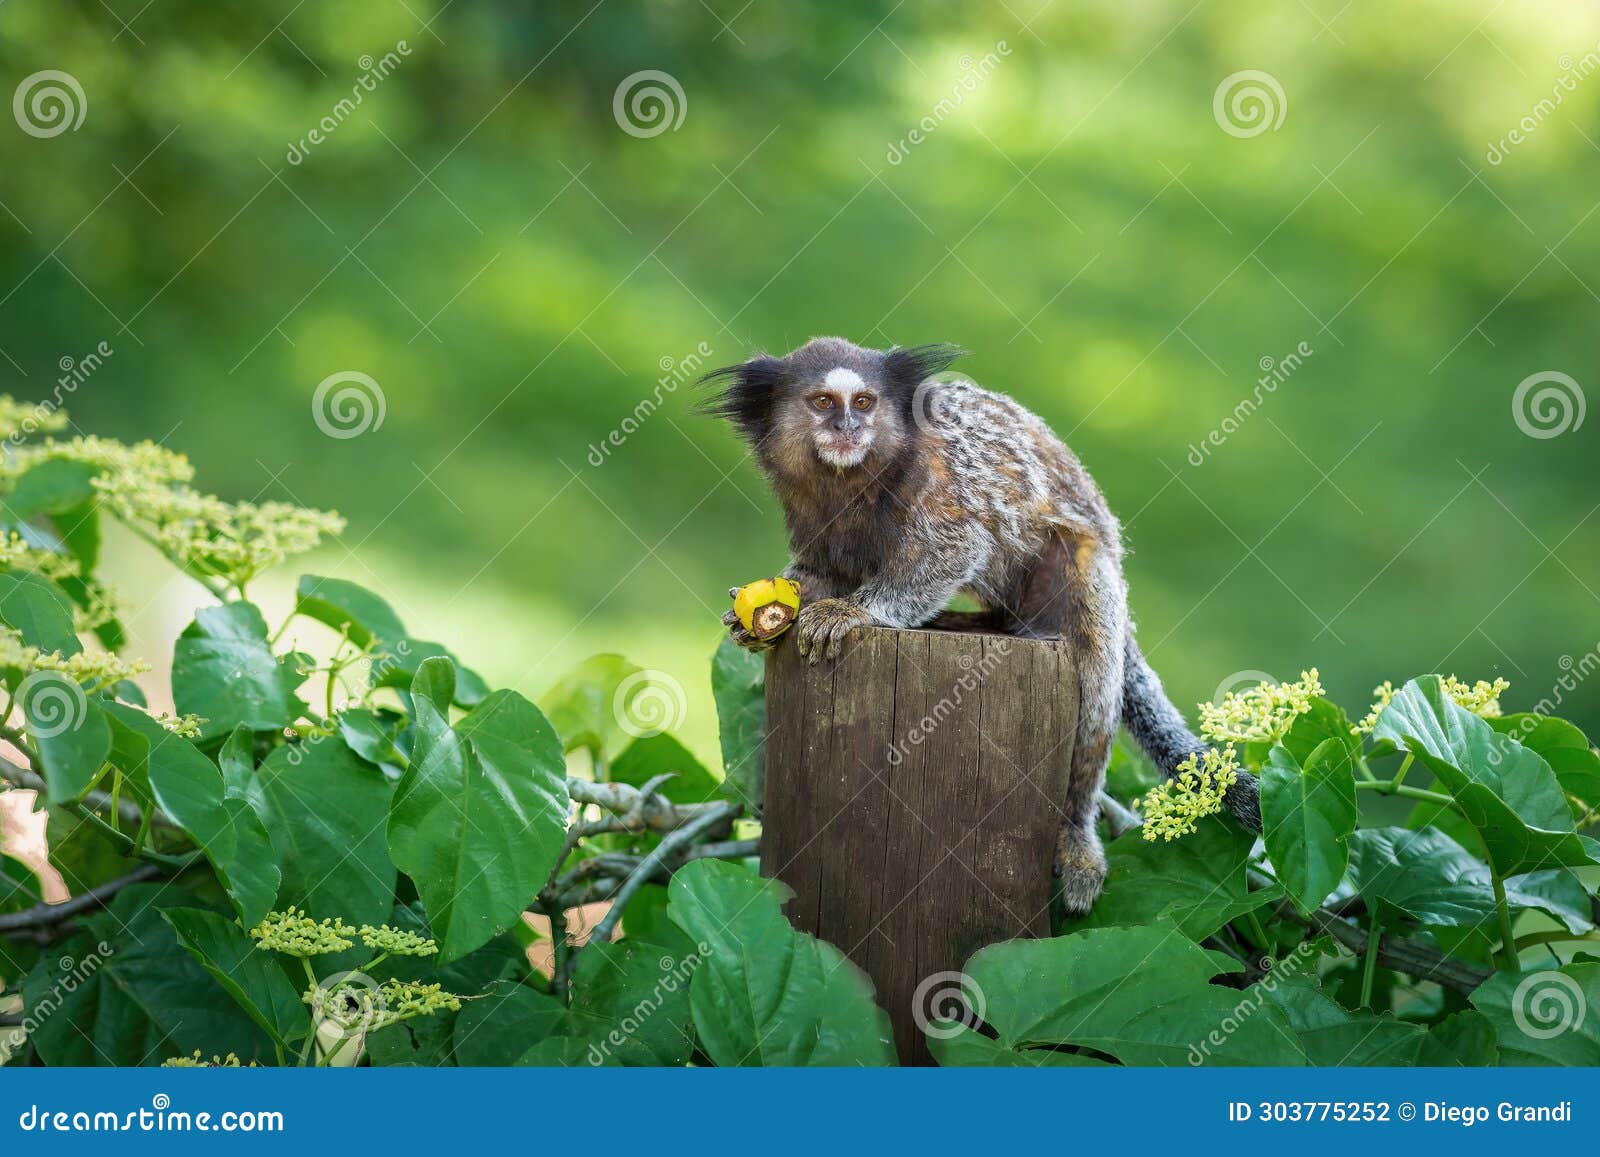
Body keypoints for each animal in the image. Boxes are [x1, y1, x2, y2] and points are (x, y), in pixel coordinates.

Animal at [701, 336, 1261, 916]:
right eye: (822, 403)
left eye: (863, 403)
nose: (848, 428)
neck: (853, 480)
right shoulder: (811, 512)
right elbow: (822, 572)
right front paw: (760, 615)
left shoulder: (941, 485)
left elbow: (954, 549)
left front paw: (852, 611)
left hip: (1086, 579)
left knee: (1095, 688)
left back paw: (1077, 834)